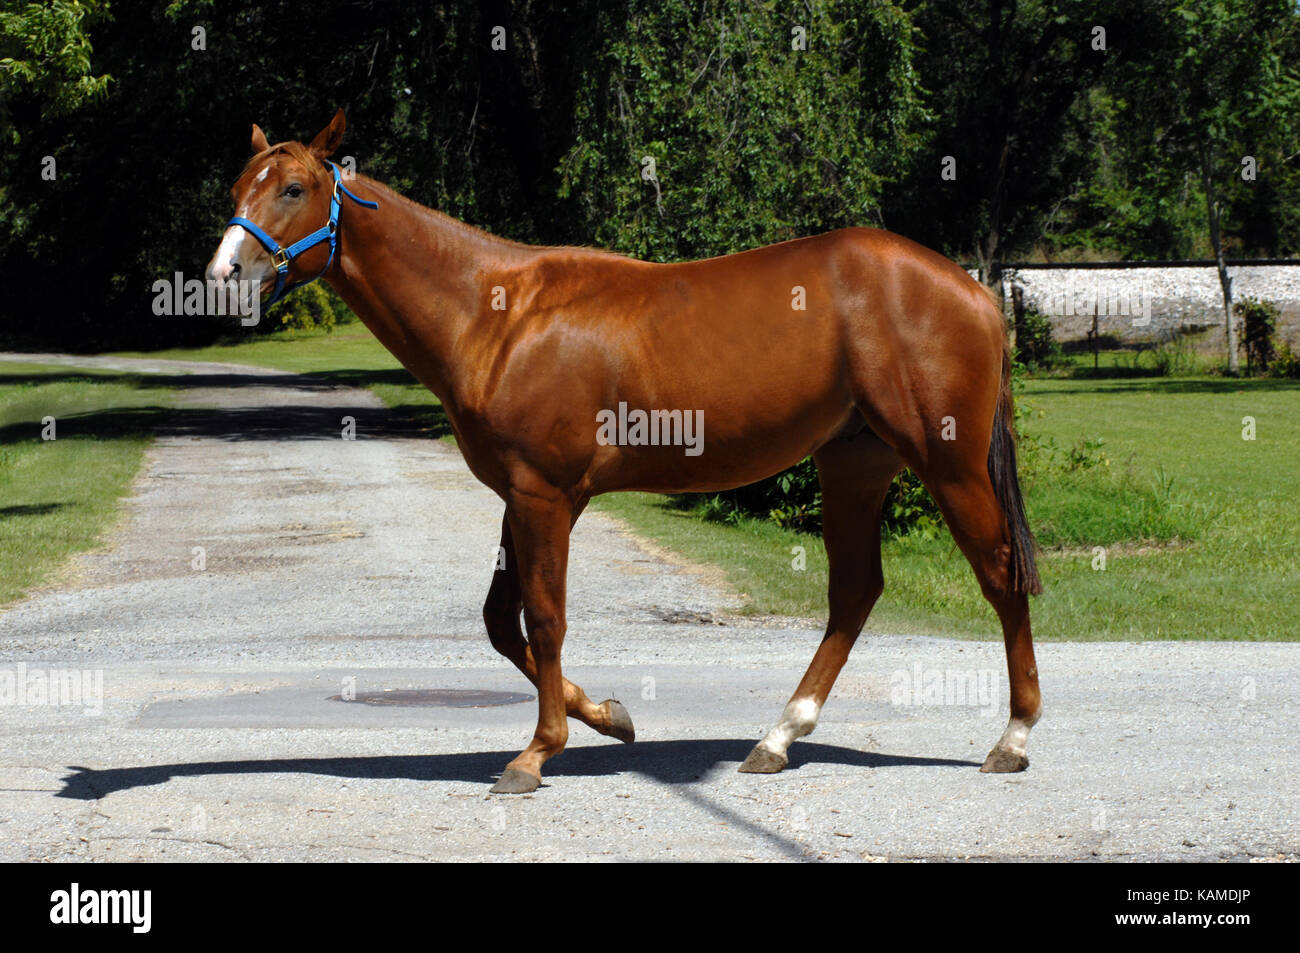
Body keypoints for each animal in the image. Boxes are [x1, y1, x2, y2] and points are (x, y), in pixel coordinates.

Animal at [206, 110, 1043, 794]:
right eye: (240, 185)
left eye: (291, 188)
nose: (223, 275)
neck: (498, 314)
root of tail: (974, 291)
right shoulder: (525, 495)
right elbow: (500, 621)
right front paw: (609, 714)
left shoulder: (545, 494)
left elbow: (543, 617)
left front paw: (537, 752)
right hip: (855, 461)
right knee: (855, 591)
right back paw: (777, 737)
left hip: (948, 463)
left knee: (999, 573)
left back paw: (1012, 737)